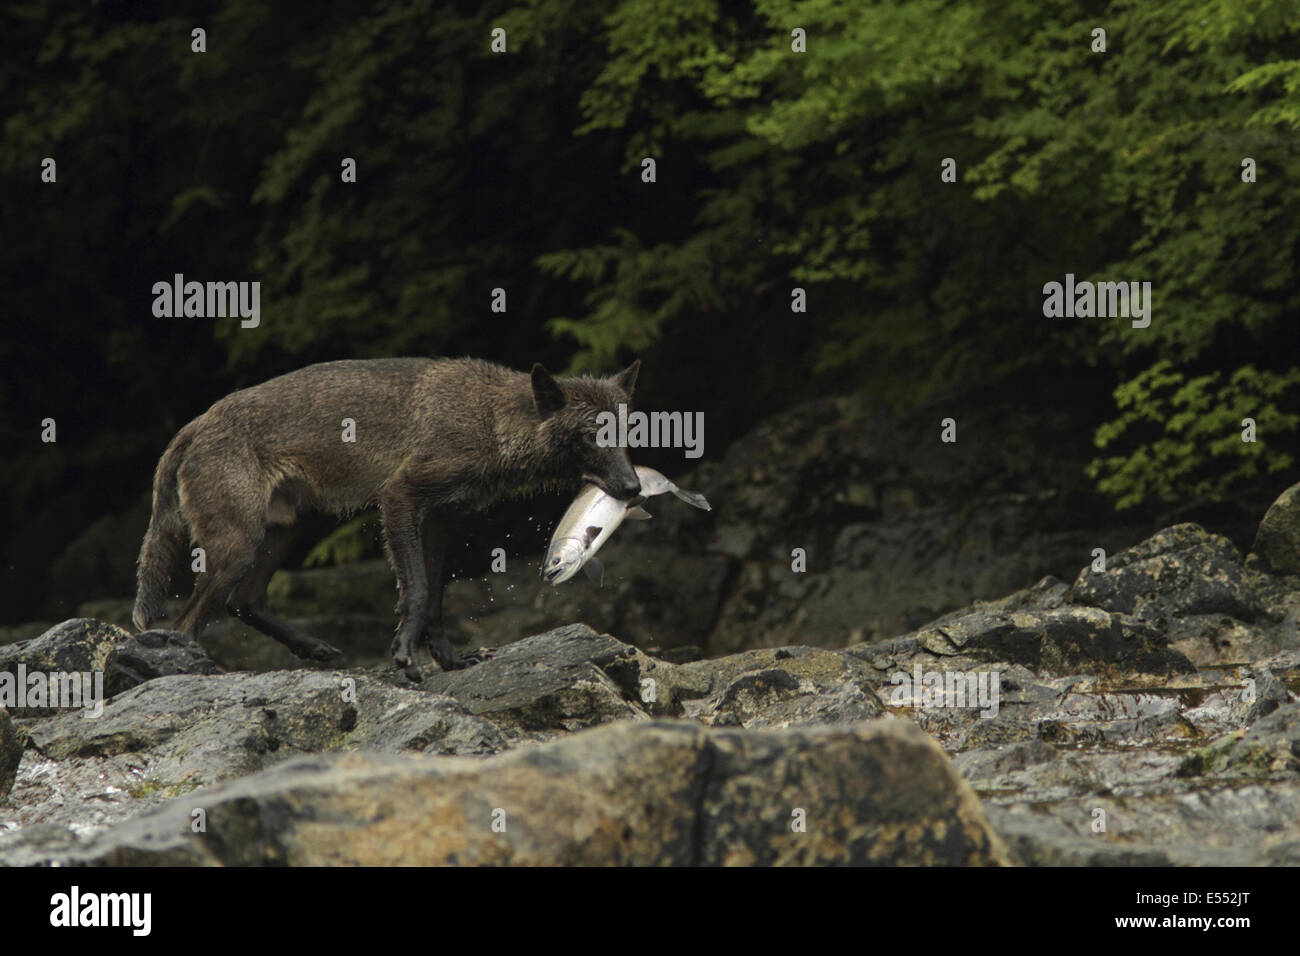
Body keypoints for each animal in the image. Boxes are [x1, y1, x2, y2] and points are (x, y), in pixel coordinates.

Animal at [132, 357, 641, 678]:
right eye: (591, 436)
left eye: (624, 434)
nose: (635, 488)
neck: (489, 420)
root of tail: (196, 422)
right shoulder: (398, 498)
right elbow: (416, 593)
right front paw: (404, 656)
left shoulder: (442, 520)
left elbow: (435, 601)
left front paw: (450, 662)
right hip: (239, 546)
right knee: (185, 624)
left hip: (292, 530)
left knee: (245, 601)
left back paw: (314, 649)